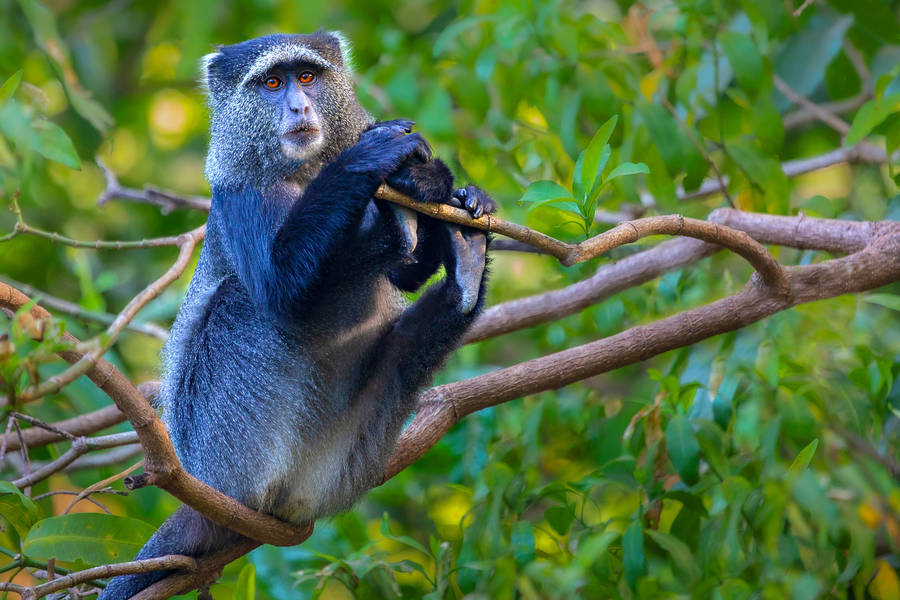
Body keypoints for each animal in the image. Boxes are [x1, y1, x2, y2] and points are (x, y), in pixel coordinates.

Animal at [99, 32, 495, 599]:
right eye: (271, 83)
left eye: (306, 77)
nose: (297, 107)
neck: (304, 172)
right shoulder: (240, 194)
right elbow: (281, 288)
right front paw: (374, 156)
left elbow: (406, 277)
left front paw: (434, 183)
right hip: (227, 449)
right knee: (239, 304)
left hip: (342, 454)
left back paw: (464, 263)